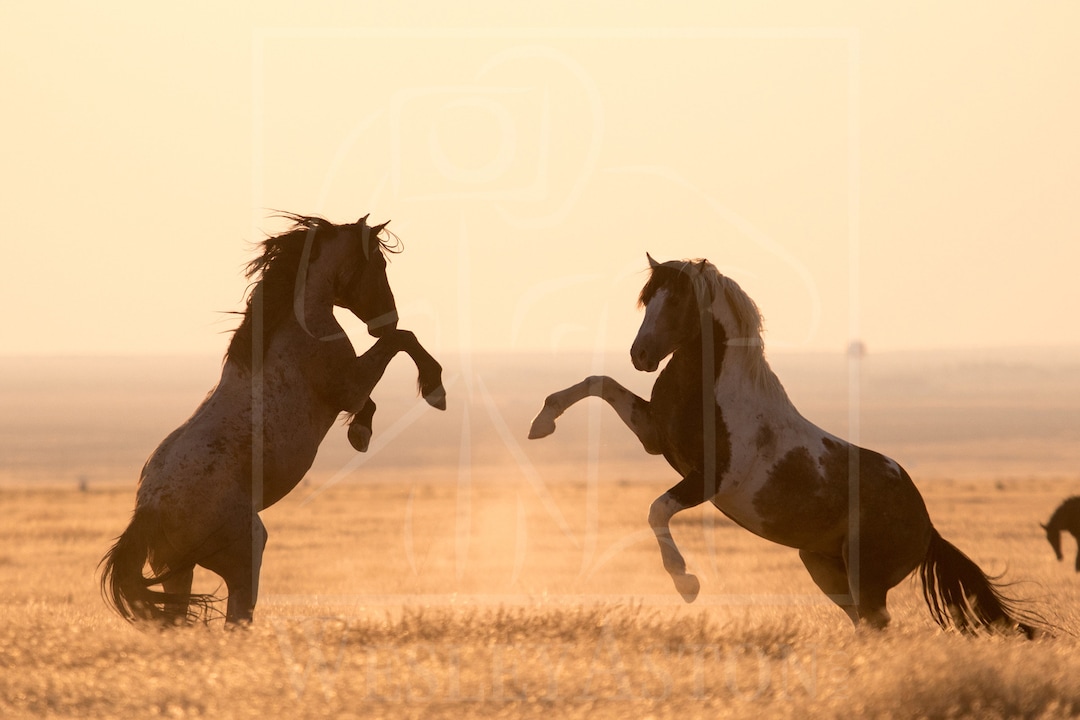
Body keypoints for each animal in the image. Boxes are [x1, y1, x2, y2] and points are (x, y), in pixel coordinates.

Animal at [100, 214, 446, 626]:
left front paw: (360, 432)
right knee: (236, 618)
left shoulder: (348, 388)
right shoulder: (347, 385)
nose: (385, 321)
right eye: (379, 264)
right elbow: (403, 342)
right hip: (245, 555)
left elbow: (374, 391)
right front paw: (435, 389)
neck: (295, 326)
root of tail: (149, 512)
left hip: (177, 573)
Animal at [530, 254, 1045, 637]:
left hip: (865, 577)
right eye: (647, 300)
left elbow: (657, 509)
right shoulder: (656, 438)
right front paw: (541, 423)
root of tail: (926, 526)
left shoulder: (708, 478)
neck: (716, 393)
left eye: (676, 301)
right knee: (866, 625)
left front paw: (686, 583)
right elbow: (598, 383)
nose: (641, 355)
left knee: (878, 623)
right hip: (825, 569)